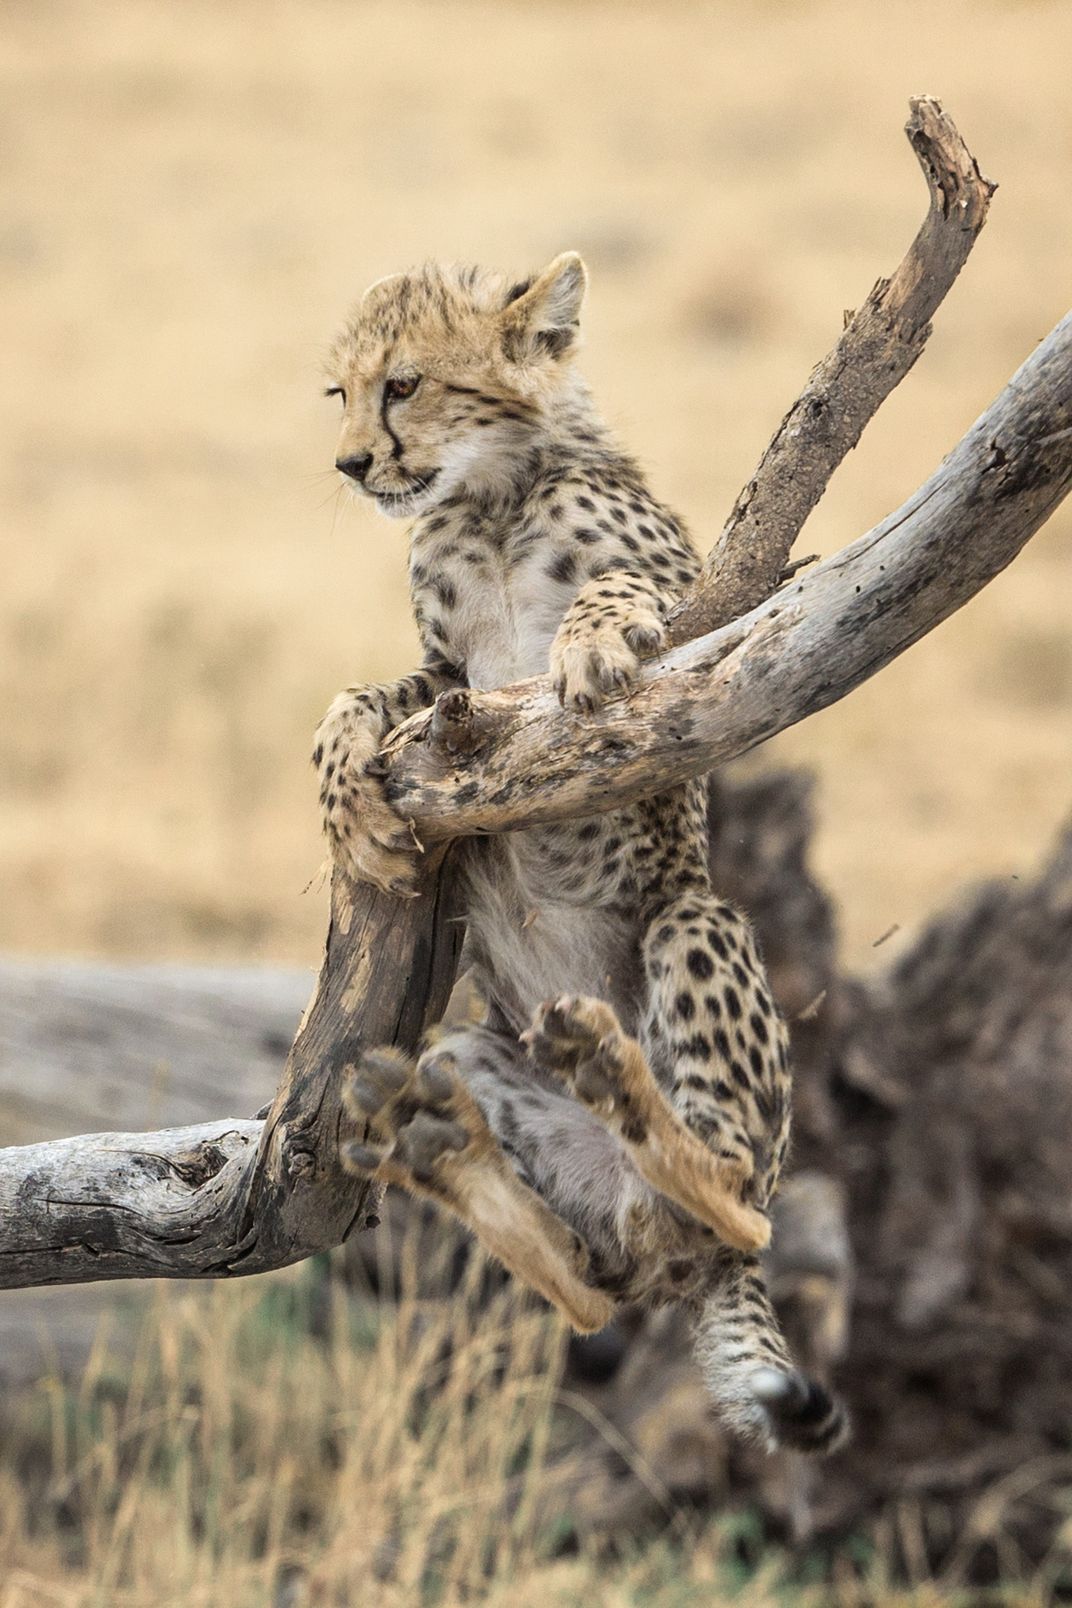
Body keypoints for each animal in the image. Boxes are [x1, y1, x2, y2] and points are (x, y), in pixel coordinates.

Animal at [314, 253, 847, 1455]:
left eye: (405, 385)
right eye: (341, 393)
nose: (352, 463)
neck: (492, 494)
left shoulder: (702, 596)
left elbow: (623, 596)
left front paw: (591, 643)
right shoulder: (444, 683)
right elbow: (359, 696)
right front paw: (343, 797)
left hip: (696, 923)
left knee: (741, 1200)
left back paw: (618, 1081)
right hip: (480, 1053)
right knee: (602, 1289)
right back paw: (441, 1145)